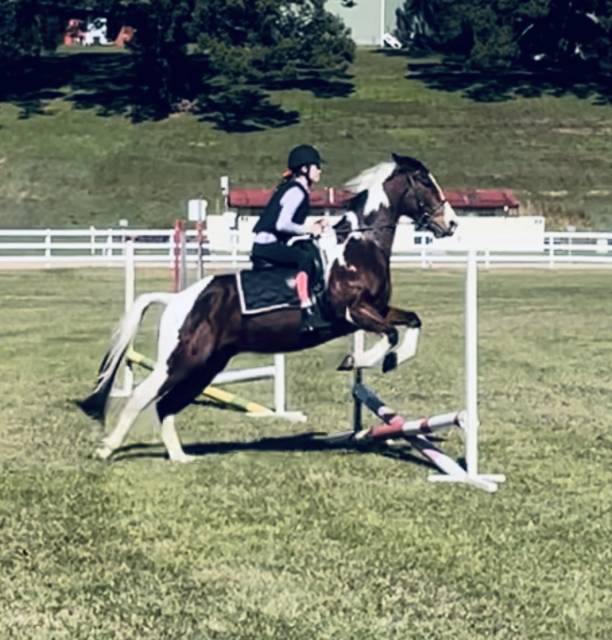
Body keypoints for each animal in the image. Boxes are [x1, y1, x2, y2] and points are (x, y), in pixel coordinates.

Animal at [80, 153, 459, 462]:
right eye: (425, 182)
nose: (452, 223)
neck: (359, 244)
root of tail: (177, 300)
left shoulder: (377, 309)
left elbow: (412, 322)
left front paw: (389, 359)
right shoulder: (352, 312)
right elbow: (391, 333)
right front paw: (359, 360)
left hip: (208, 364)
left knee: (165, 405)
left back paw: (180, 457)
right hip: (182, 359)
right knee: (142, 396)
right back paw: (107, 448)